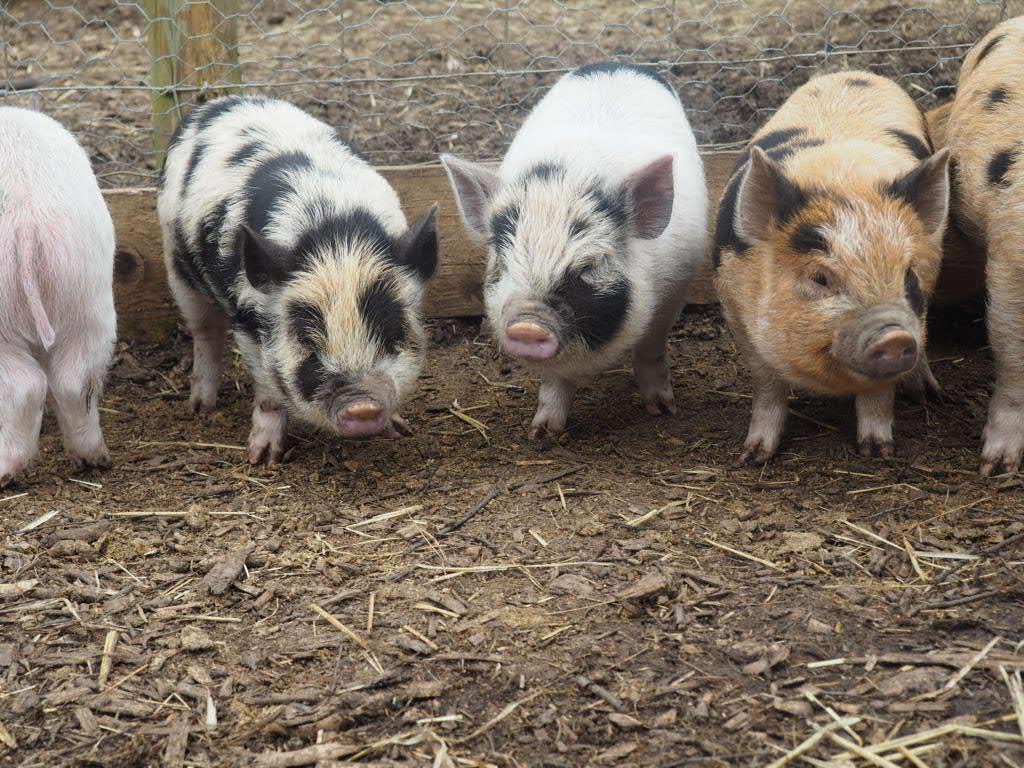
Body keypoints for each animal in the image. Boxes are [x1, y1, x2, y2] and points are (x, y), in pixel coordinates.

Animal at [0, 107, 116, 486]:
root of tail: (25, 217)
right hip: (87, 291)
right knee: (75, 380)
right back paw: (94, 459)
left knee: (25, 385)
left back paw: (5, 473)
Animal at [158, 96, 438, 465]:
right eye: (308, 345)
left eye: (392, 336)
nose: (361, 407)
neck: (336, 238)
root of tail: (221, 102)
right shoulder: (249, 322)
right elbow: (268, 392)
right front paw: (262, 459)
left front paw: (399, 430)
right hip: (176, 263)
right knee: (205, 332)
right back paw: (201, 408)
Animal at [440, 62, 707, 438]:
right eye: (503, 262)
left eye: (591, 265)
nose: (527, 325)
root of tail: (619, 63)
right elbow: (555, 379)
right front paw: (542, 433)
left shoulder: (674, 291)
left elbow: (651, 350)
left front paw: (662, 410)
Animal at [714, 71, 951, 464]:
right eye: (820, 277)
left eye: (909, 275)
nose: (895, 337)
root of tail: (856, 73)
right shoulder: (736, 314)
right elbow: (767, 386)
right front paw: (753, 457)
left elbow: (879, 394)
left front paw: (879, 451)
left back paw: (927, 393)